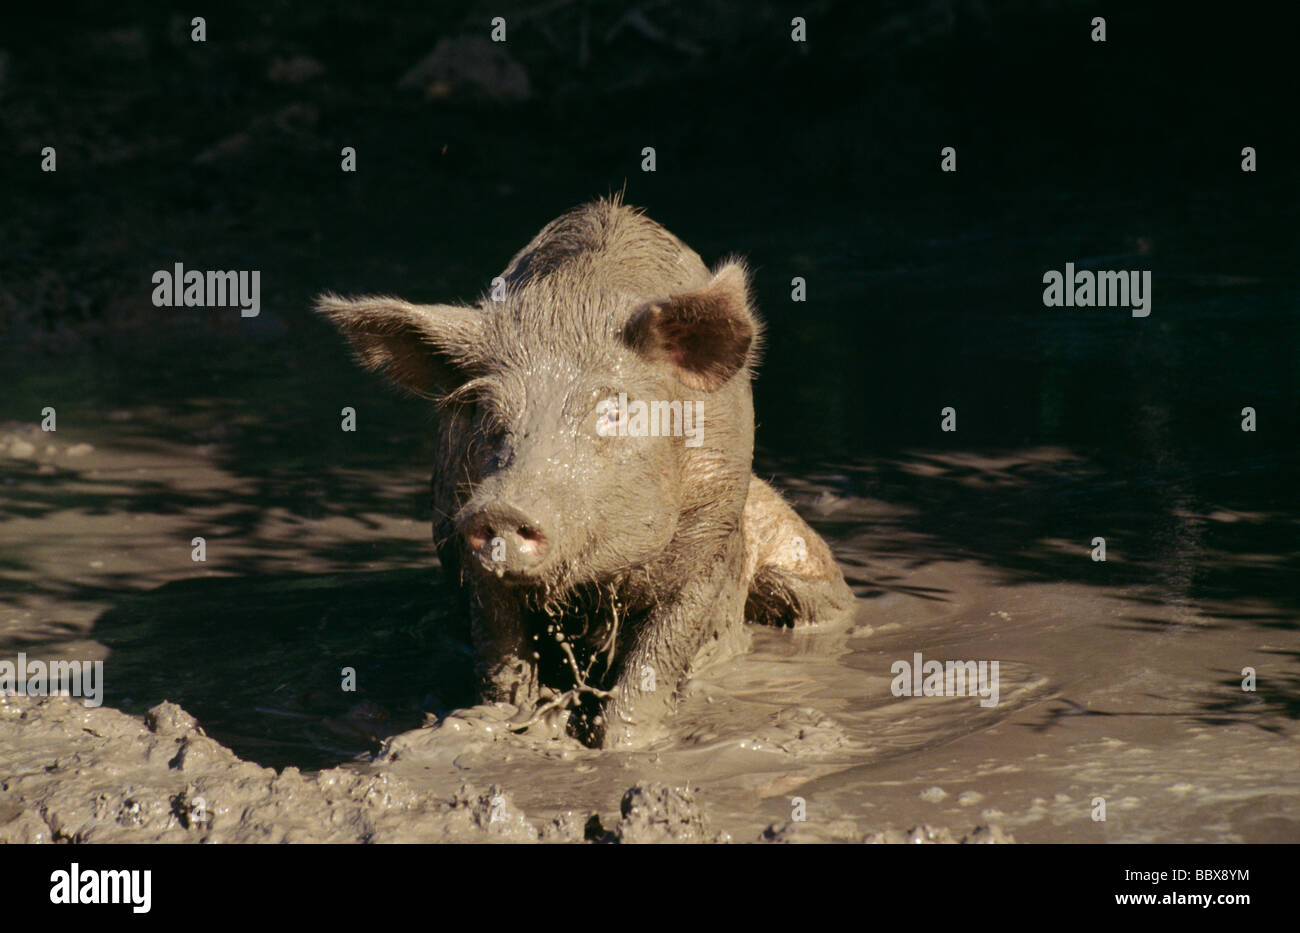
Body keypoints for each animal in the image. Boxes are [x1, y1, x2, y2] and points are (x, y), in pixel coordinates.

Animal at [316, 196, 854, 747]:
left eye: (613, 412)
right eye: (488, 413)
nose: (503, 508)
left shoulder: (713, 531)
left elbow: (660, 654)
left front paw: (621, 744)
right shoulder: (461, 534)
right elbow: (502, 656)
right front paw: (510, 722)